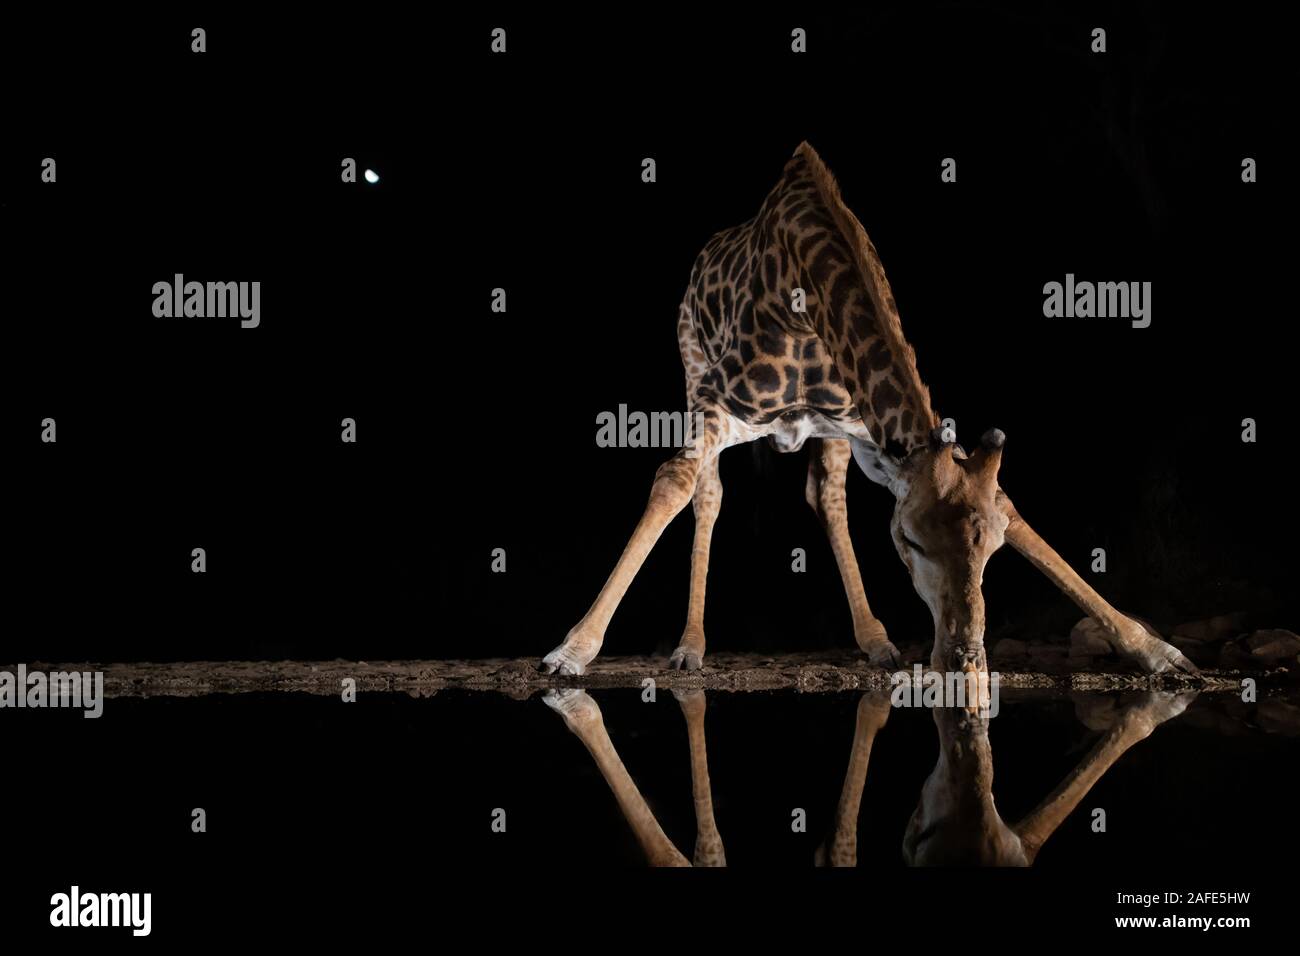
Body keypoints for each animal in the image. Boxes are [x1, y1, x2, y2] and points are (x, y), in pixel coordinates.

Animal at [540, 142, 1197, 678]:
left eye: (992, 550)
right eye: (910, 542)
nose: (965, 657)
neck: (806, 300)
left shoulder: (869, 429)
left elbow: (1004, 503)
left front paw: (1156, 651)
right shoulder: (718, 403)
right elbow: (674, 481)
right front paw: (573, 649)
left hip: (827, 432)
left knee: (826, 496)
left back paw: (876, 640)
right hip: (692, 368)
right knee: (707, 491)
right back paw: (691, 645)